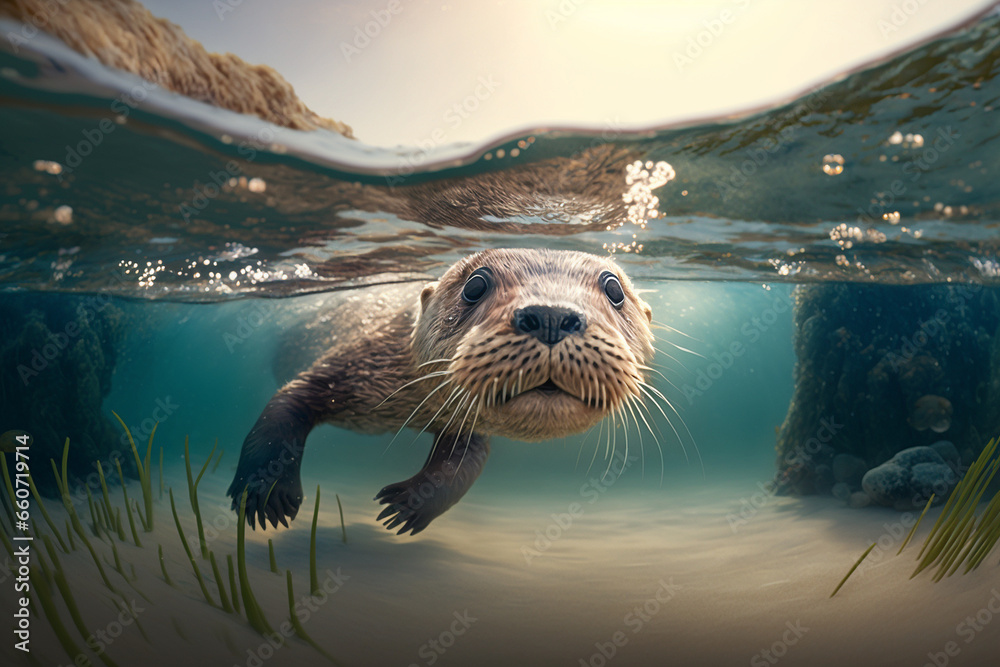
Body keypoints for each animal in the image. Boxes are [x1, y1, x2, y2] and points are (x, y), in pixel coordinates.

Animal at [228, 248, 658, 535]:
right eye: (475, 285)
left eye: (614, 289)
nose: (552, 315)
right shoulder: (357, 362)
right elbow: (286, 407)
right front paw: (266, 492)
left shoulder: (465, 424)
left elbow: (461, 466)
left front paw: (408, 504)